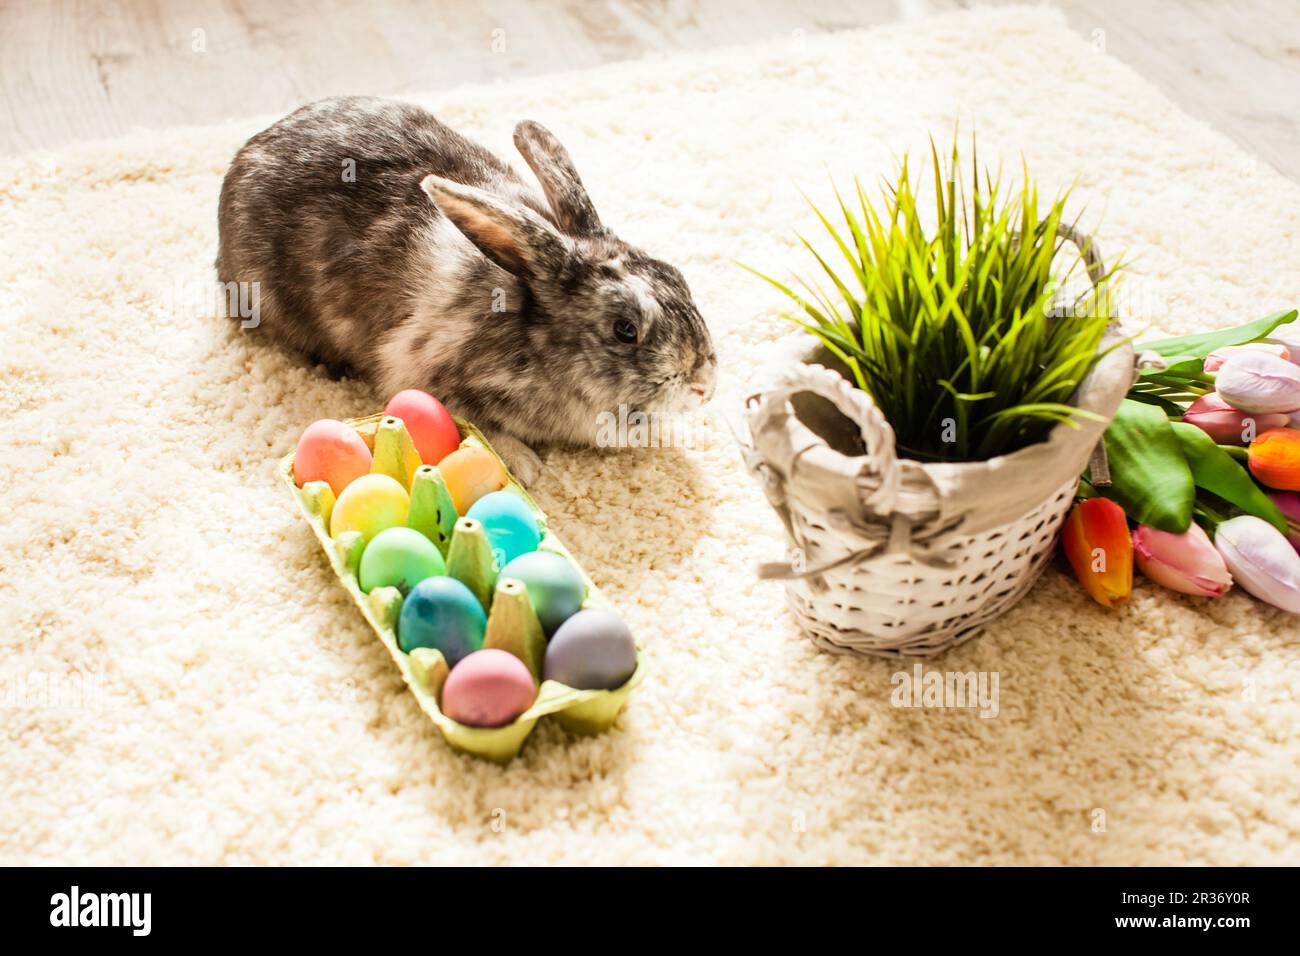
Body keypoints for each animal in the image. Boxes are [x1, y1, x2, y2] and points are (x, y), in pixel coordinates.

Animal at [216, 96, 717, 483]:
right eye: (624, 329)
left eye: (678, 277)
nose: (704, 386)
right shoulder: (423, 374)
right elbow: (476, 423)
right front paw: (523, 464)